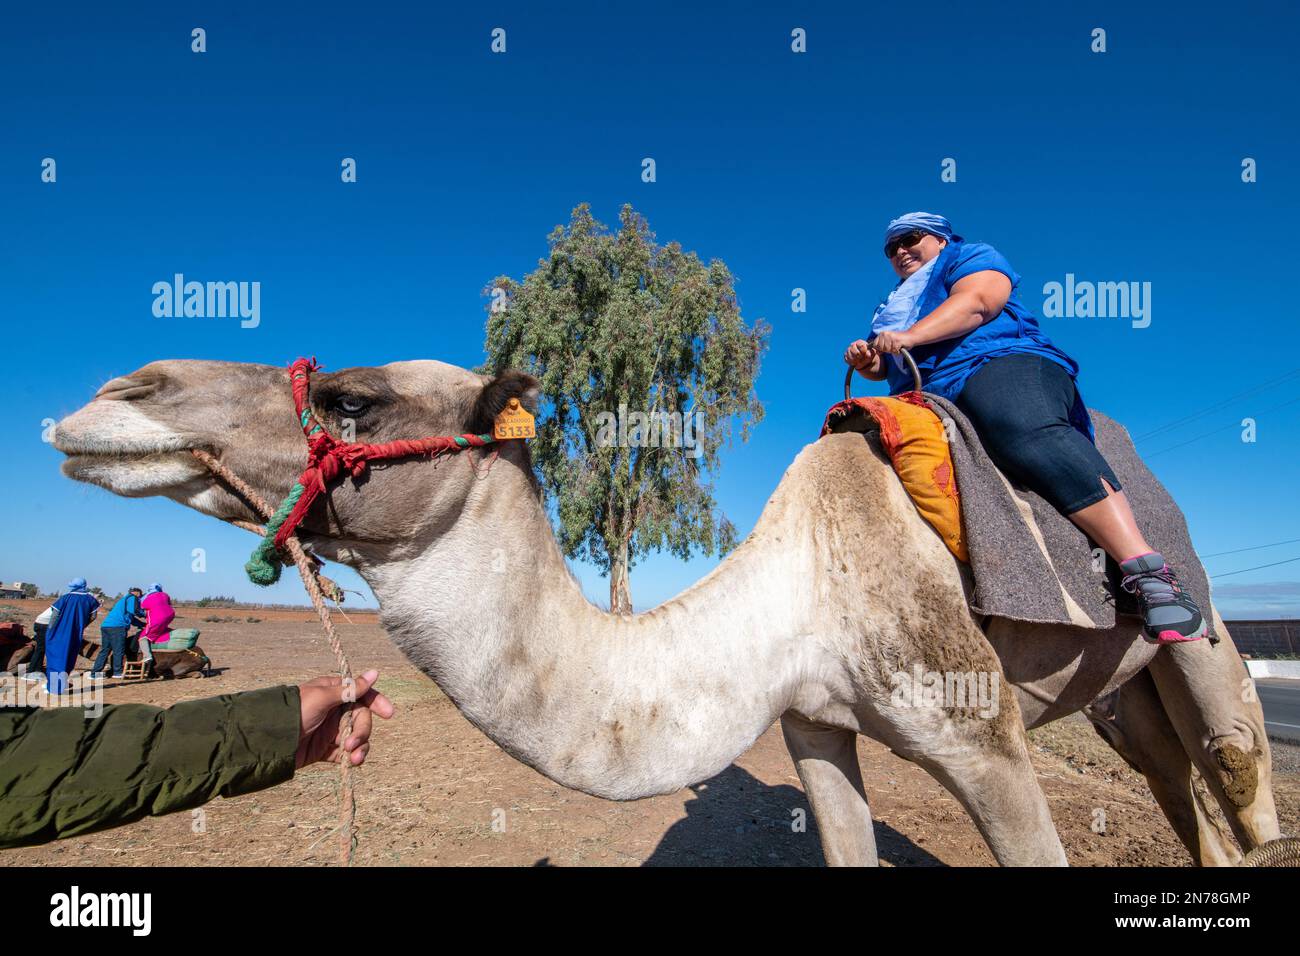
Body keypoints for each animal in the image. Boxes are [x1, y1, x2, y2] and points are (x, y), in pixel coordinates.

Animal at [52, 358, 1284, 866]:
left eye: (354, 399)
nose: (117, 392)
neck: (799, 586)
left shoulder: (980, 736)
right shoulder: (815, 723)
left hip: (1194, 633)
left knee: (1232, 770)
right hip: (1119, 694)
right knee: (1172, 781)